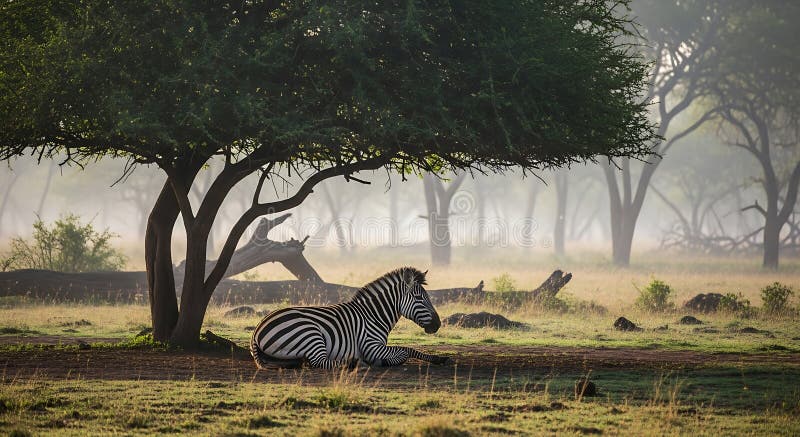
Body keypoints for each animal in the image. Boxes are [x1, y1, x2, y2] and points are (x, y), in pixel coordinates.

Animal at [249, 267, 450, 369]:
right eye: (419, 298)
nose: (438, 324)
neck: (374, 315)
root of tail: (257, 329)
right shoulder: (371, 347)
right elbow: (405, 351)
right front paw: (382, 361)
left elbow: (411, 350)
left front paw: (438, 358)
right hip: (310, 332)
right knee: (320, 362)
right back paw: (353, 362)